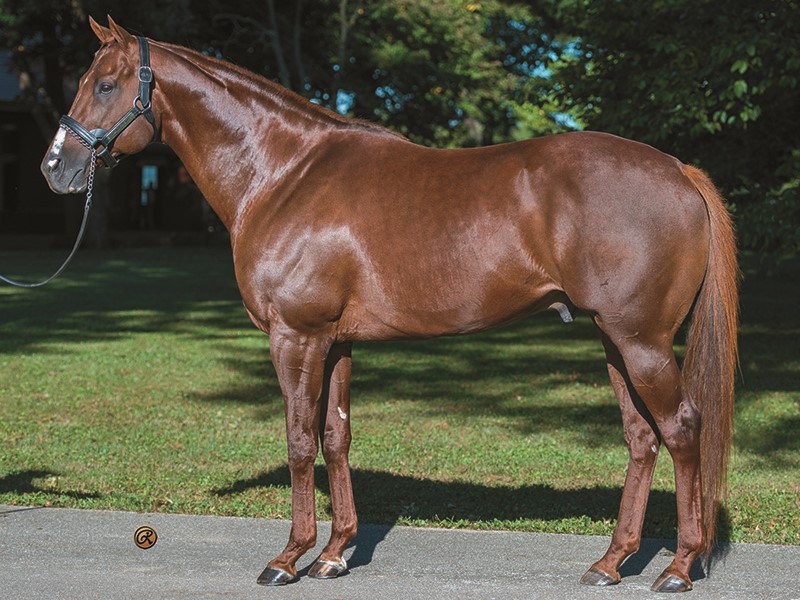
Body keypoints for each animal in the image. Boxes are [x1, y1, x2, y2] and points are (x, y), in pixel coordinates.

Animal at [41, 18, 738, 593]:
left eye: (106, 85)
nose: (55, 168)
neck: (283, 172)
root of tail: (678, 171)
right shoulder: (335, 340)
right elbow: (336, 435)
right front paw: (334, 554)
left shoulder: (295, 336)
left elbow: (300, 440)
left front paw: (287, 558)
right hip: (615, 340)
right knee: (642, 439)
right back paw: (610, 563)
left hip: (641, 341)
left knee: (682, 430)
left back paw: (678, 567)